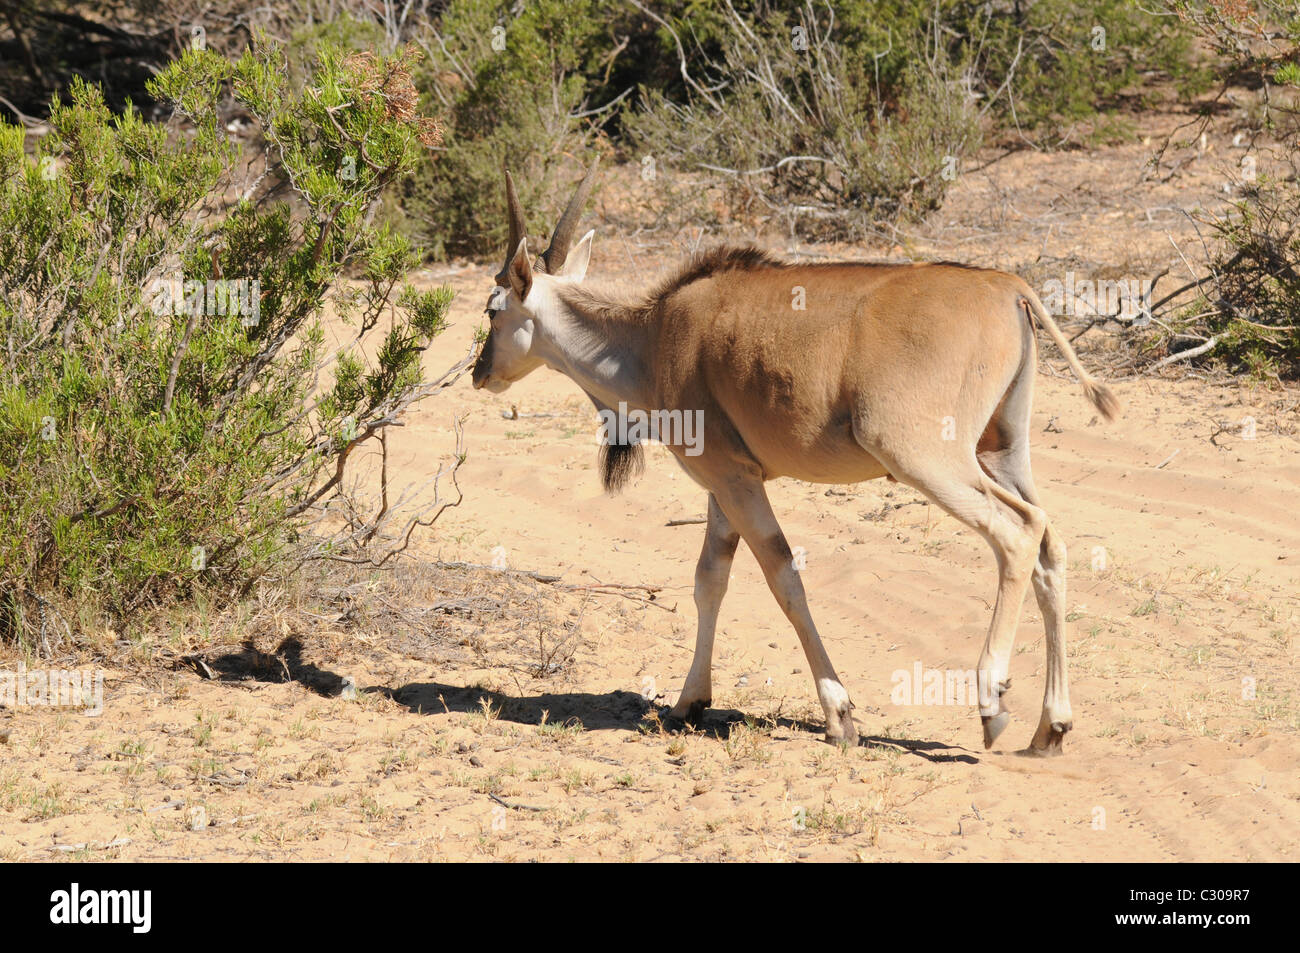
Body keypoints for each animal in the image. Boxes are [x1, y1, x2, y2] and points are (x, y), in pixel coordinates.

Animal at [471, 163, 1119, 755]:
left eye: (491, 309)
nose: (480, 372)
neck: (655, 337)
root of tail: (1008, 287)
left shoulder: (734, 480)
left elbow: (783, 578)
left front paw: (840, 715)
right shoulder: (726, 486)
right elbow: (710, 579)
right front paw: (688, 704)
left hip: (925, 457)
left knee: (1017, 532)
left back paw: (991, 704)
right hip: (1002, 453)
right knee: (1051, 545)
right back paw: (1052, 726)